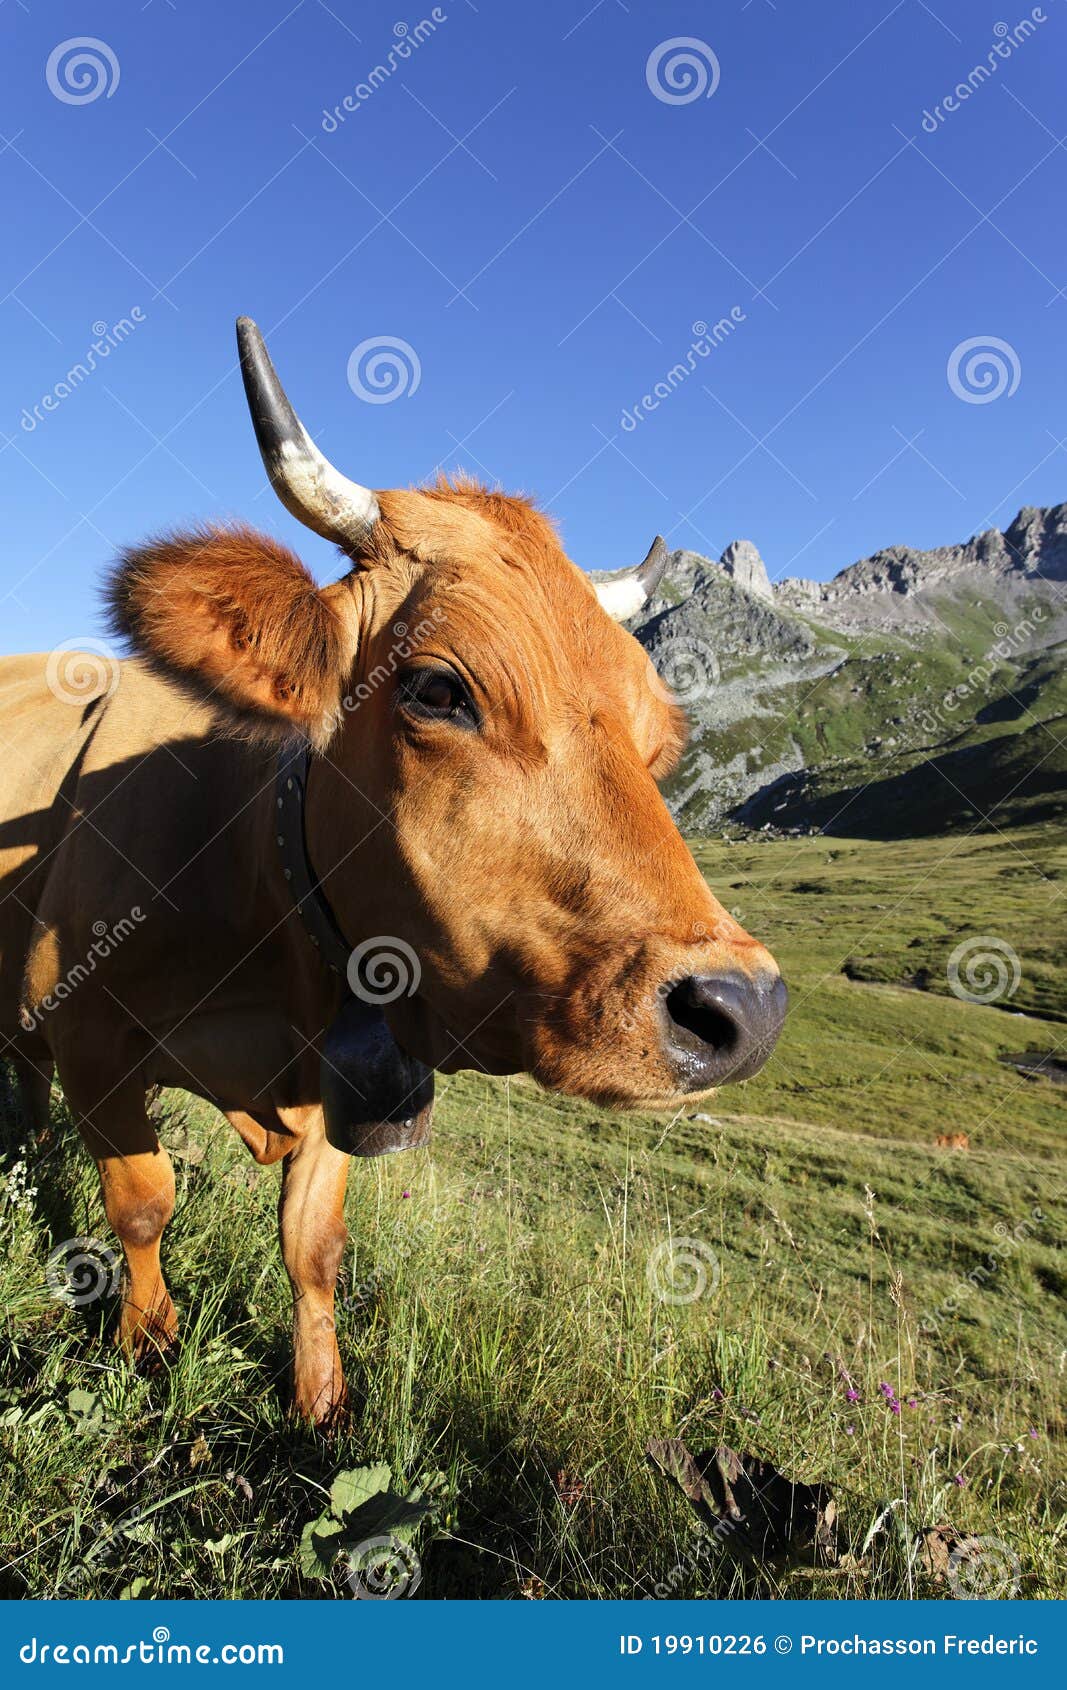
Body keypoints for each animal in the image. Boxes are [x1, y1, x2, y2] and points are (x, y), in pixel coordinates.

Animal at [0, 319, 787, 1424]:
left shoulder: (348, 1070)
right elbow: (145, 1202)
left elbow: (313, 1244)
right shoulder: (89, 1031)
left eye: (656, 740)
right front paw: (144, 1343)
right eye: (437, 689)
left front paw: (322, 1400)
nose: (741, 1009)